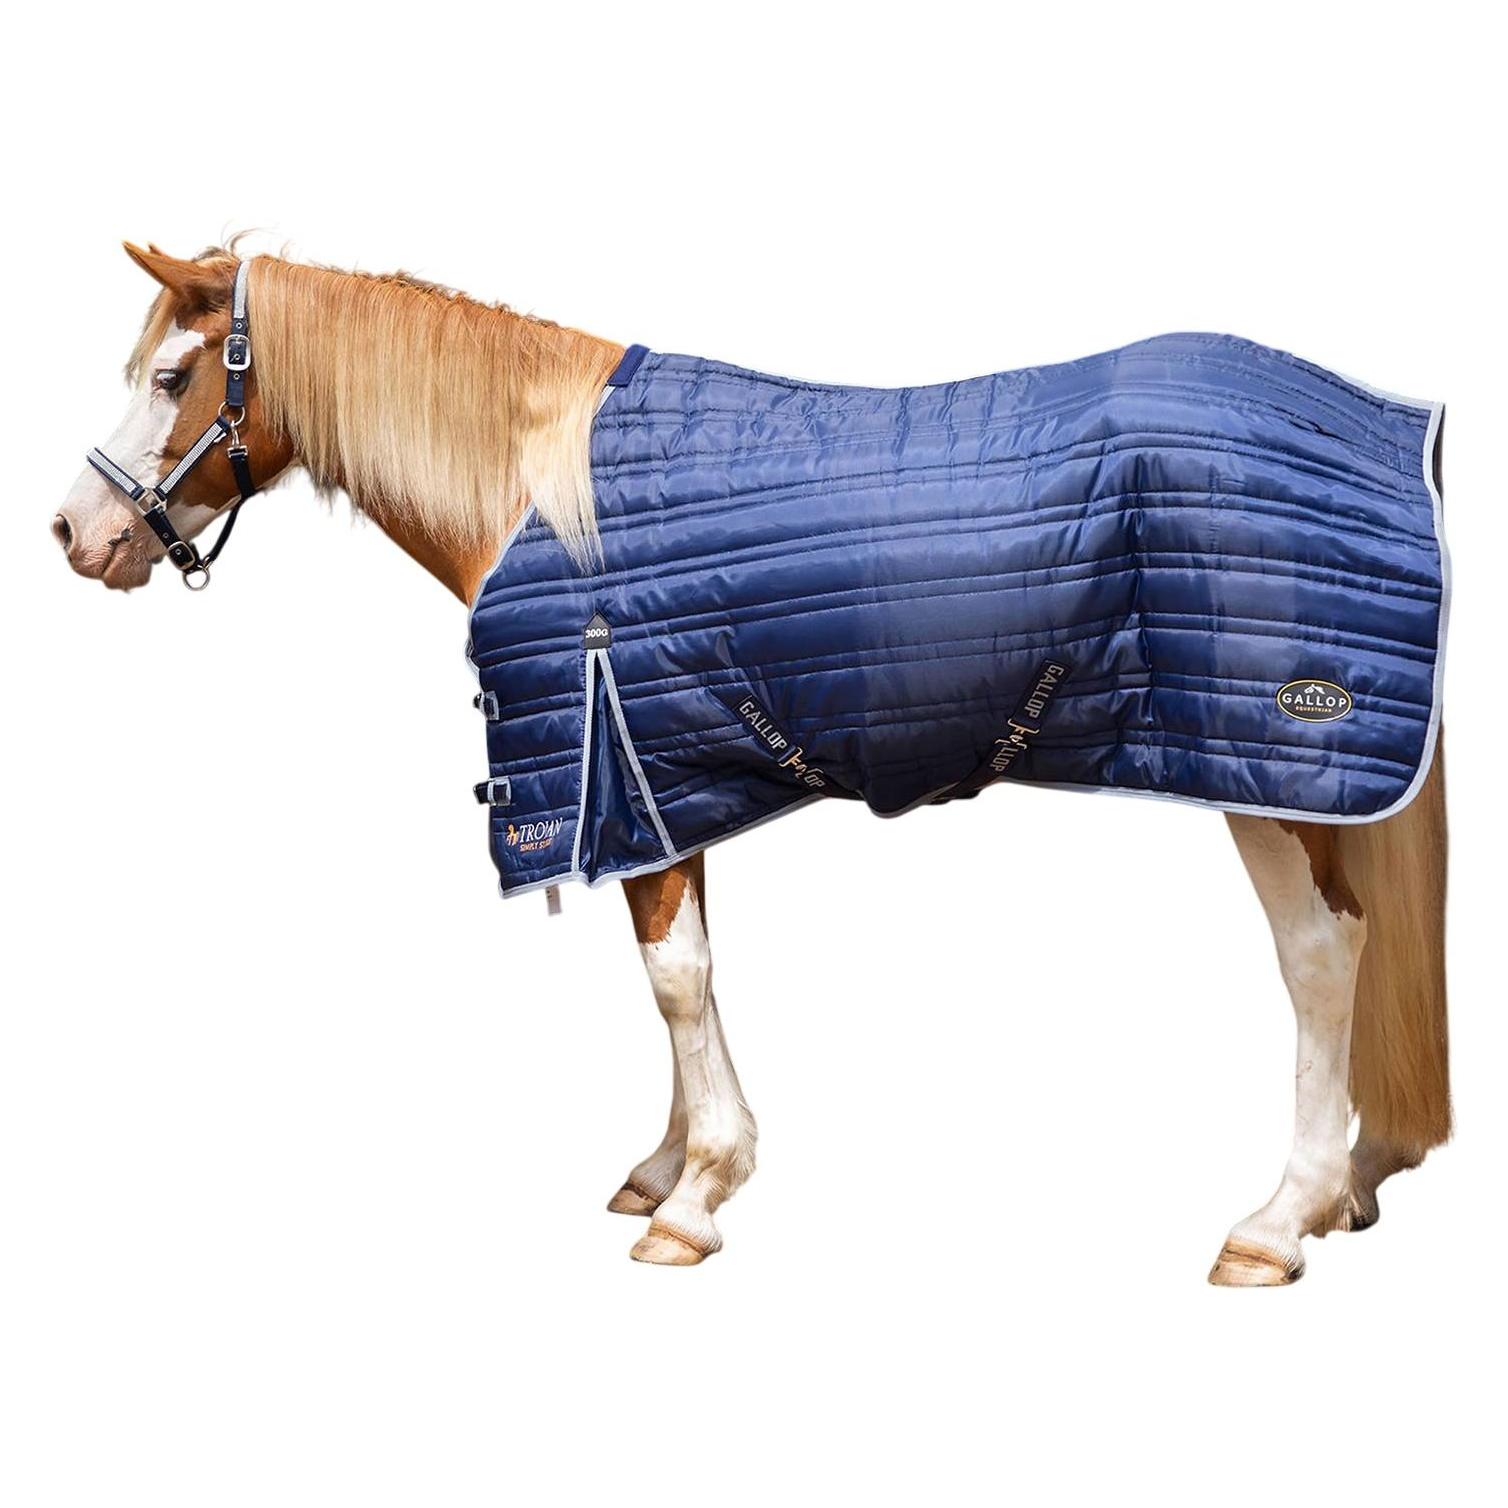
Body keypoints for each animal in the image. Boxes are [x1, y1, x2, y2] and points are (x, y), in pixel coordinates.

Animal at [52, 242, 1450, 1283]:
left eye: (172, 374)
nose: (75, 530)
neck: (538, 490)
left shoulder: (611, 761)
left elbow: (674, 976)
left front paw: (698, 1196)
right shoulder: (659, 779)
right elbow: (682, 973)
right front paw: (666, 1166)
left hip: (1265, 778)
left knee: (1322, 954)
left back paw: (1278, 1219)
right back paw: (1353, 1182)